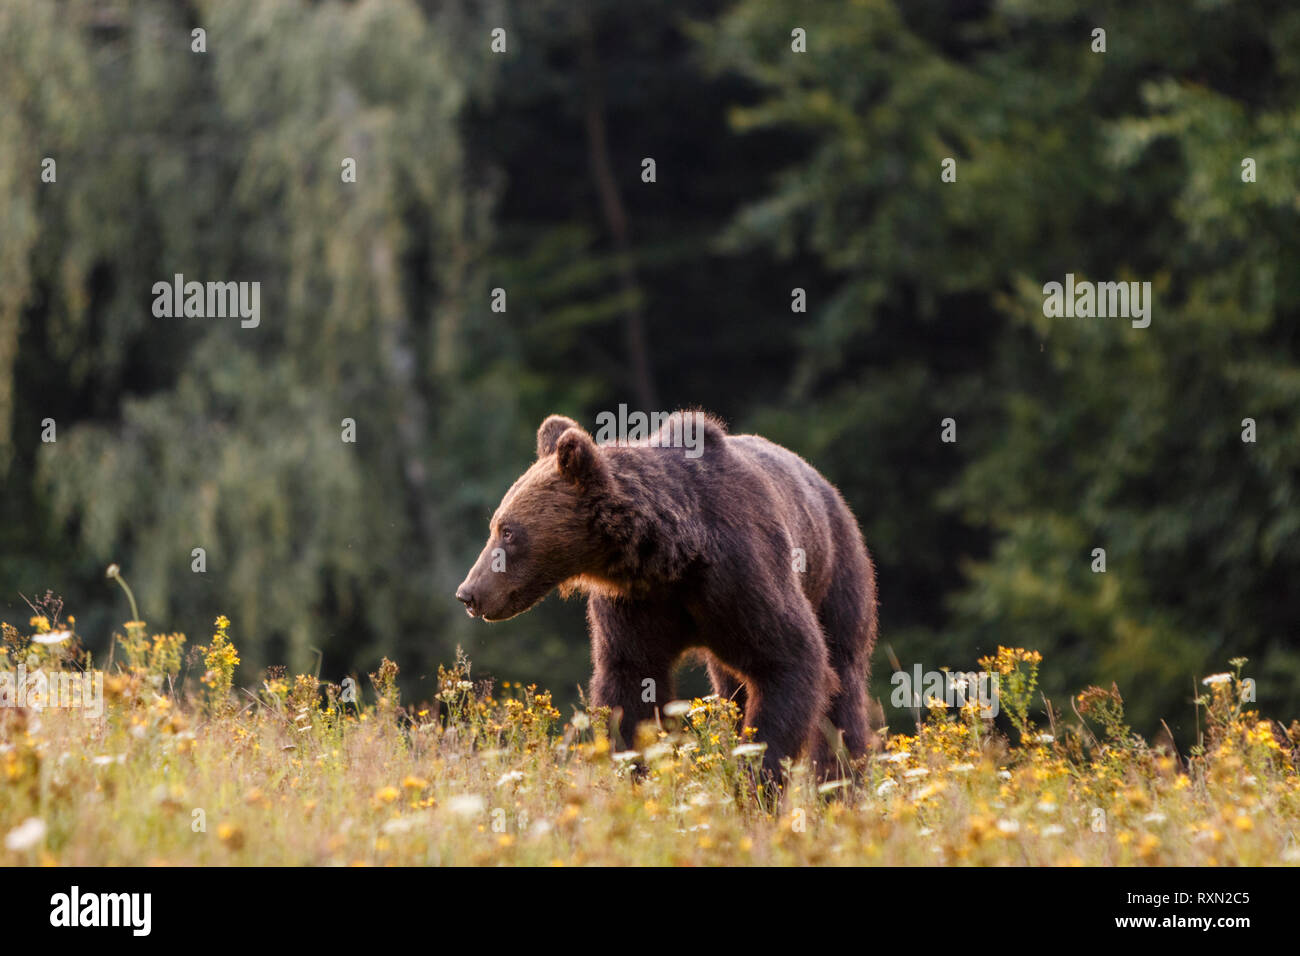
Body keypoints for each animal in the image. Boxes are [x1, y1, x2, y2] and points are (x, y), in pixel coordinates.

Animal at [455, 411, 878, 786]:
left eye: (508, 531)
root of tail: (825, 485)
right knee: (733, 688)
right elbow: (632, 684)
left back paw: (840, 786)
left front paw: (758, 782)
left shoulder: (742, 576)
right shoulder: (636, 606)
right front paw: (637, 775)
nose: (469, 593)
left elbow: (790, 659)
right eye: (497, 525)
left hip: (836, 573)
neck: (671, 558)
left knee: (843, 682)